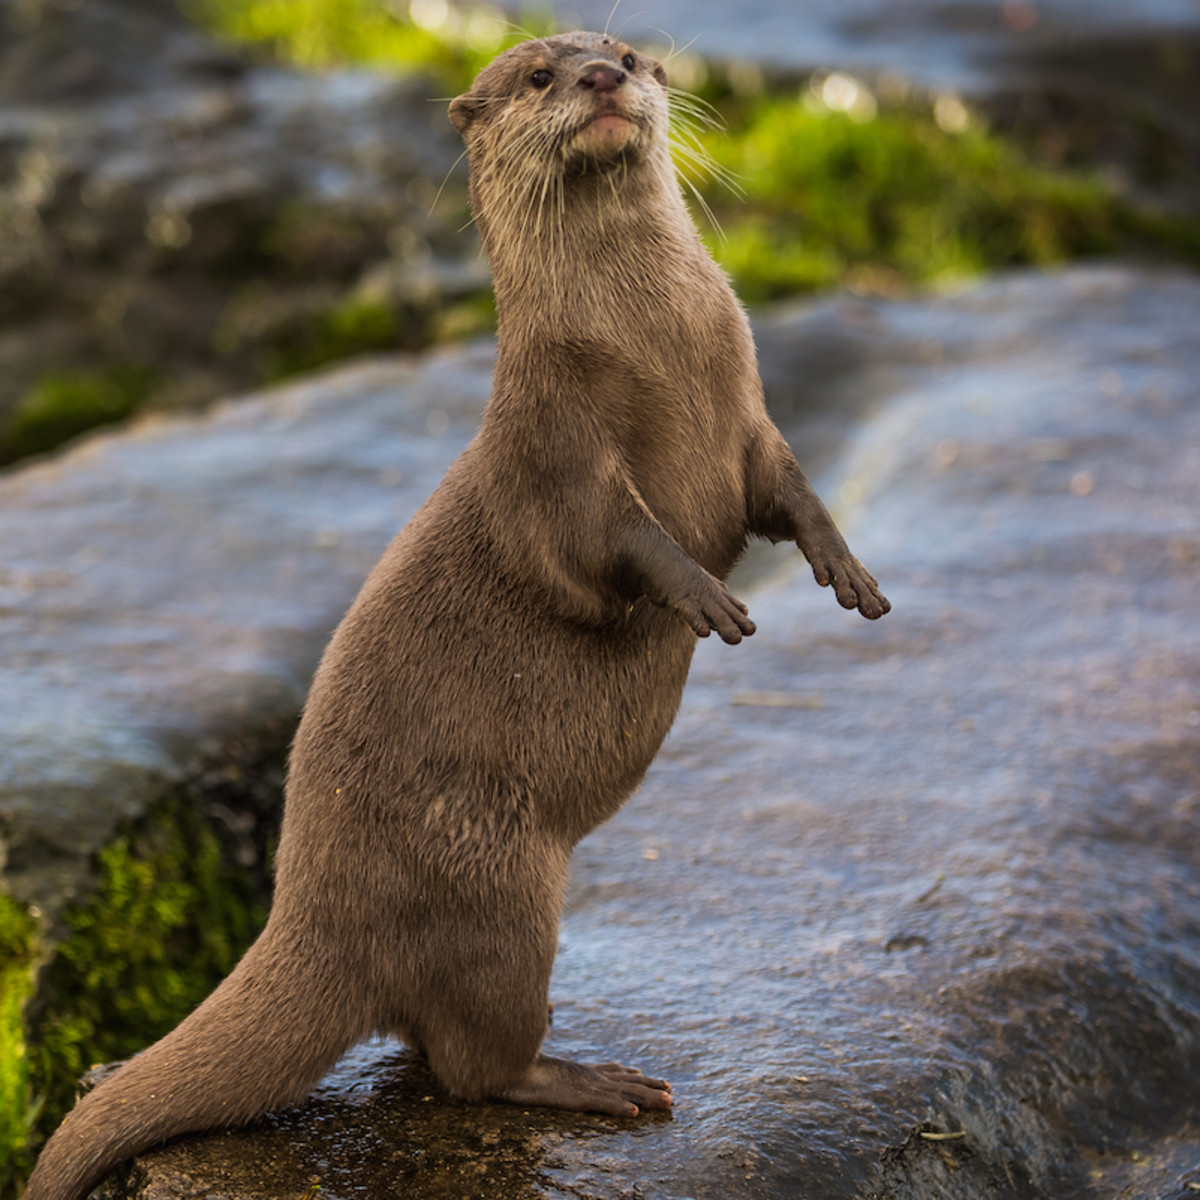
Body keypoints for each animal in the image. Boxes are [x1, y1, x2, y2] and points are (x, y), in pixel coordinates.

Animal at [24, 31, 889, 1200]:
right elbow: (608, 540)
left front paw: (847, 569)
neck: (657, 347)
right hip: (503, 897)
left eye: (628, 52)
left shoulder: (747, 401)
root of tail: (310, 918)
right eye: (537, 77)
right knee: (473, 1063)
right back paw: (593, 1080)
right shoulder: (553, 437)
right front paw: (706, 596)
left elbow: (785, 489)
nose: (604, 77)